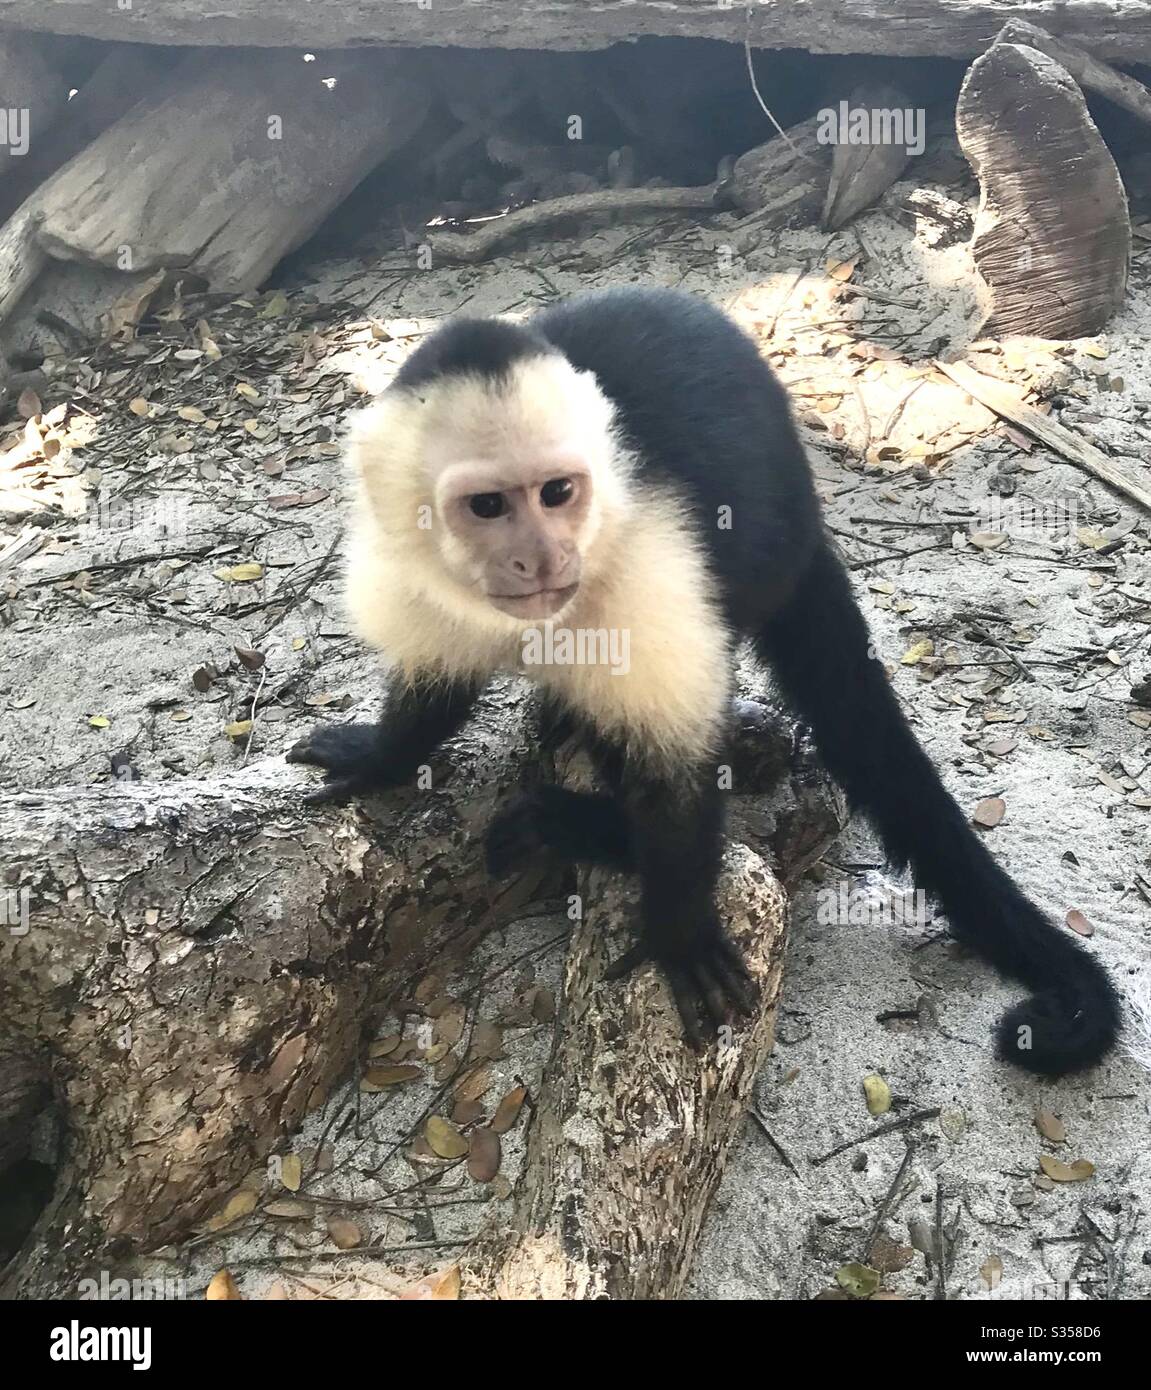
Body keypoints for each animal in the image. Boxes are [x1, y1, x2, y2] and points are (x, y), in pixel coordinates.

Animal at [288, 285, 1120, 1075]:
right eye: (486, 506)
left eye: (558, 493)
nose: (544, 557)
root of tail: (809, 516)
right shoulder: (413, 574)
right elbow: (435, 686)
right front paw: (380, 756)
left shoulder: (646, 561)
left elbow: (677, 768)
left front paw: (678, 930)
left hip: (765, 566)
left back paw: (587, 826)